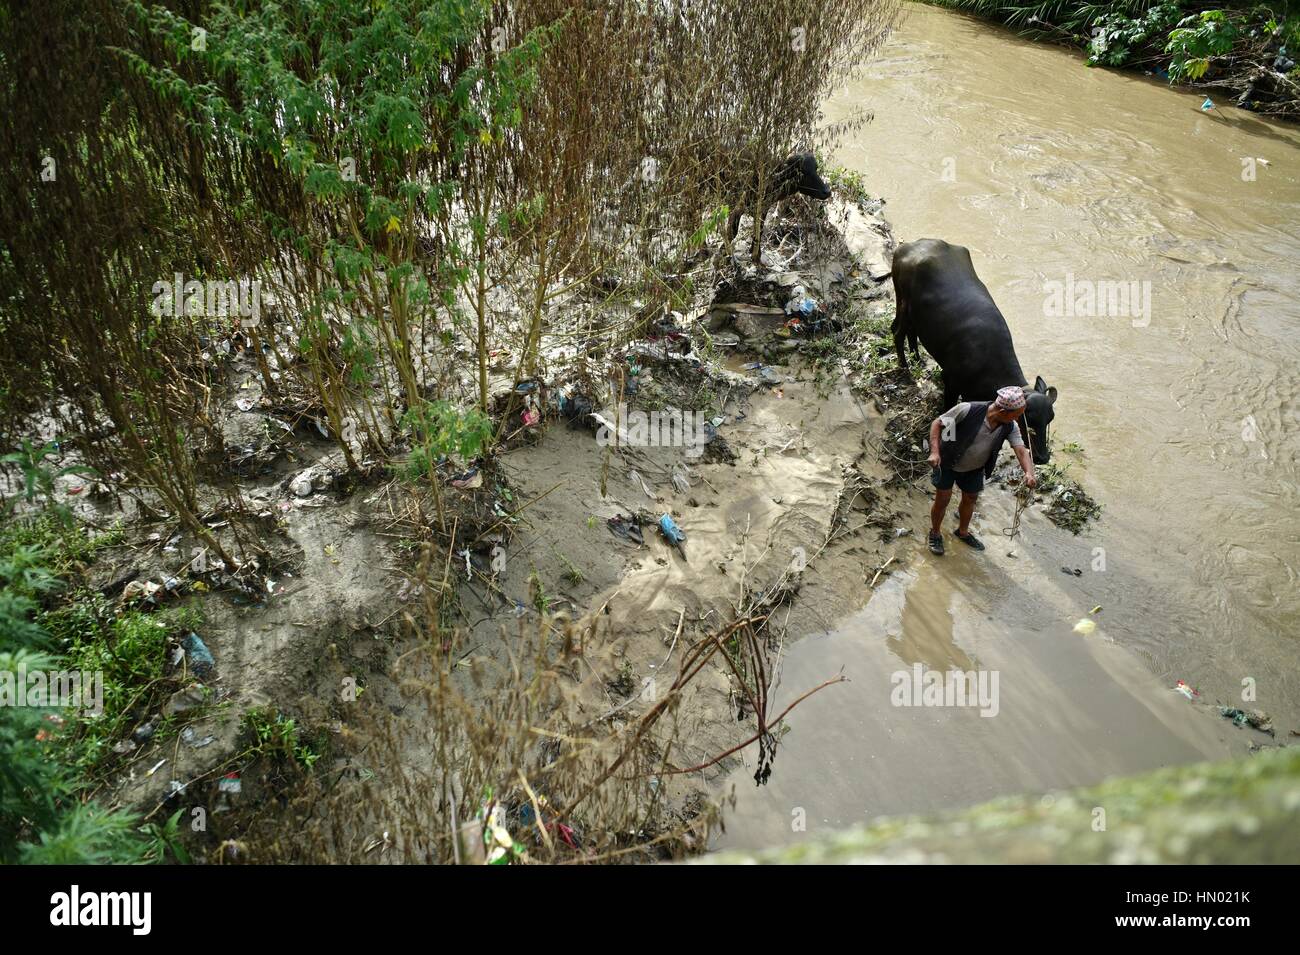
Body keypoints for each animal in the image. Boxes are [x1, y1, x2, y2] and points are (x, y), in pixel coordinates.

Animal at [891, 238, 1057, 465]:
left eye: (1050, 418)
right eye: (1028, 418)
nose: (1042, 457)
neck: (989, 365)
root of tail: (907, 246)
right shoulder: (951, 382)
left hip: (916, 315)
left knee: (910, 332)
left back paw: (917, 361)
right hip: (904, 304)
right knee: (898, 332)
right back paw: (905, 369)